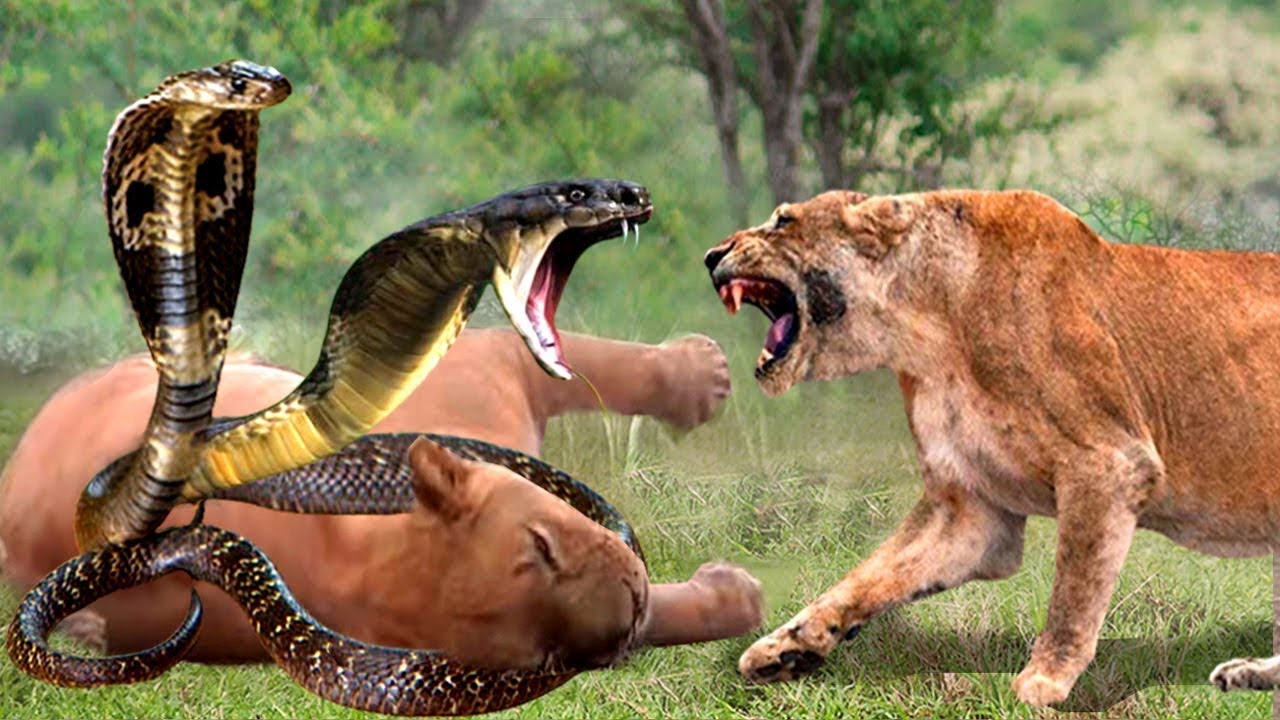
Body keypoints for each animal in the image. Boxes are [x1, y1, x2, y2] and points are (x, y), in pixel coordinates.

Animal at [703, 188, 1280, 706]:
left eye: (782, 221)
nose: (710, 256)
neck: (925, 328)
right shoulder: (970, 509)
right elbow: (868, 576)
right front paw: (784, 648)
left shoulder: (1110, 461)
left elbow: (1073, 588)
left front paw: (1043, 681)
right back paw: (1251, 672)